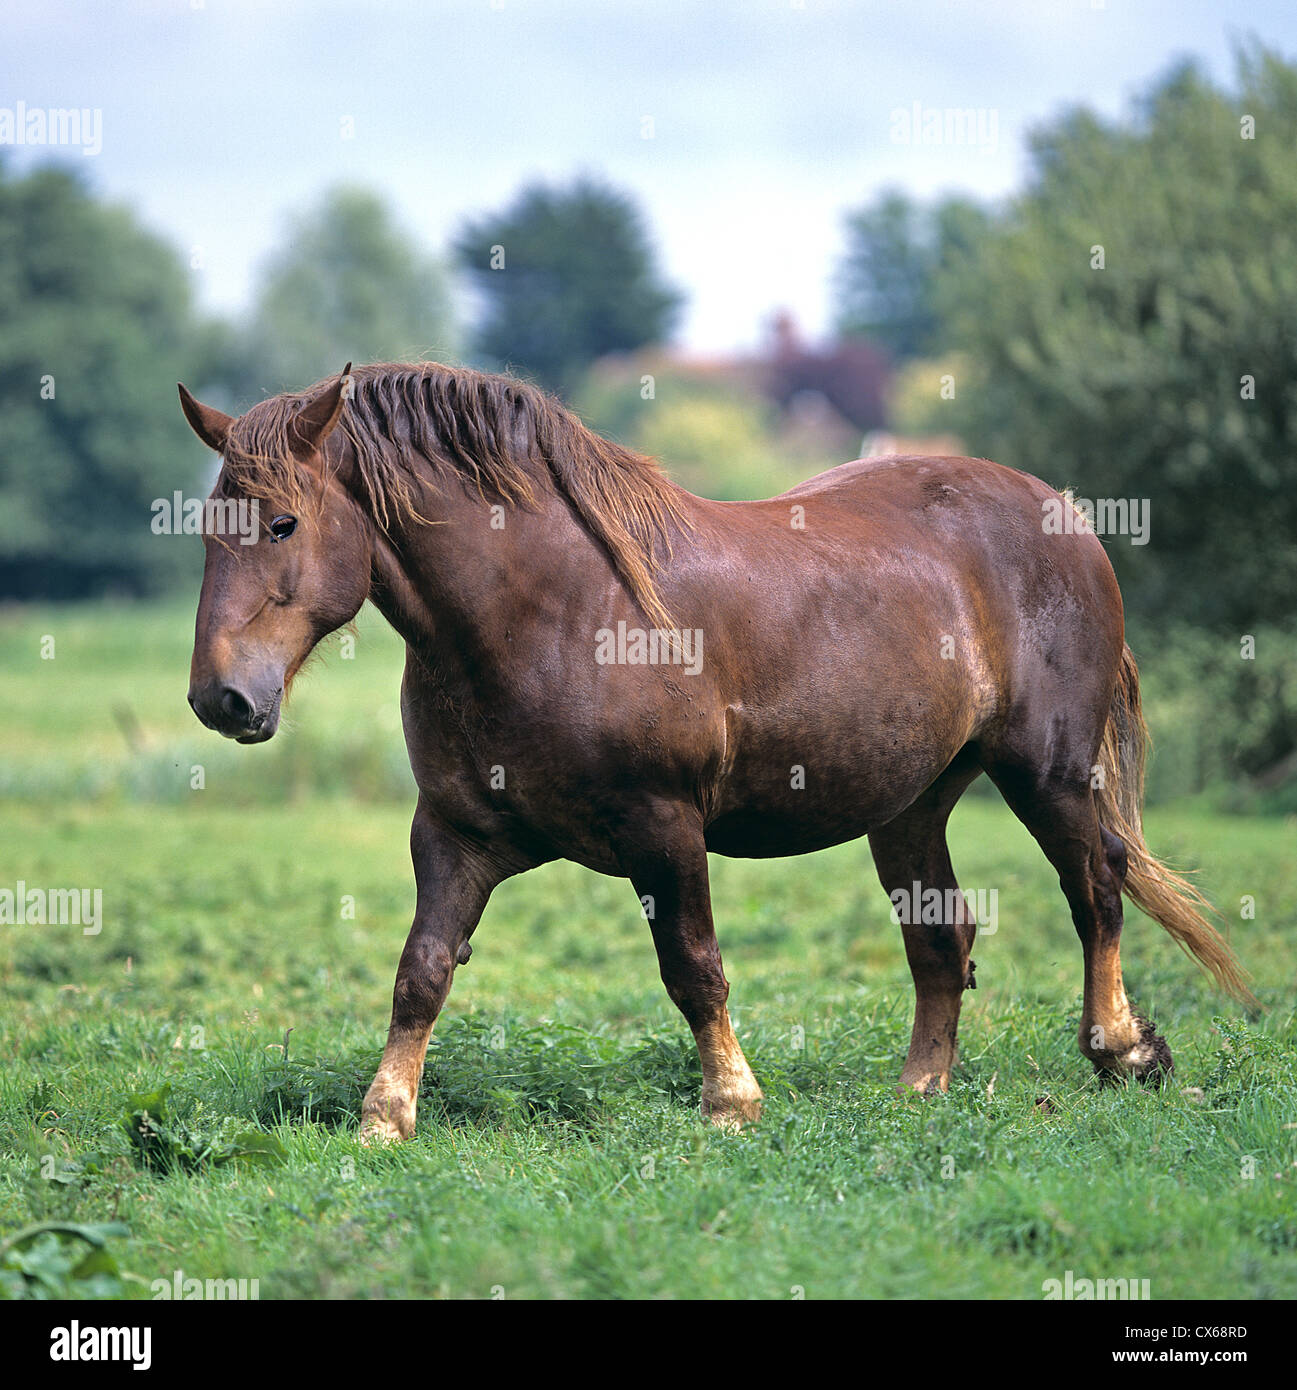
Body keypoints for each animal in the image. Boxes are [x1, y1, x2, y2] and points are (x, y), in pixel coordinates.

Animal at [178, 361, 1253, 1143]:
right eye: (206, 531)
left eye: (283, 522)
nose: (222, 698)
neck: (551, 616)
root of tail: (1066, 519)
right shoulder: (454, 835)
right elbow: (422, 969)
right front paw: (384, 1117)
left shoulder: (664, 828)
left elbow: (693, 967)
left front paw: (731, 1102)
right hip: (910, 807)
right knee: (941, 939)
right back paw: (917, 1089)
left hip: (1049, 773)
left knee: (1095, 889)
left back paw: (1119, 1049)